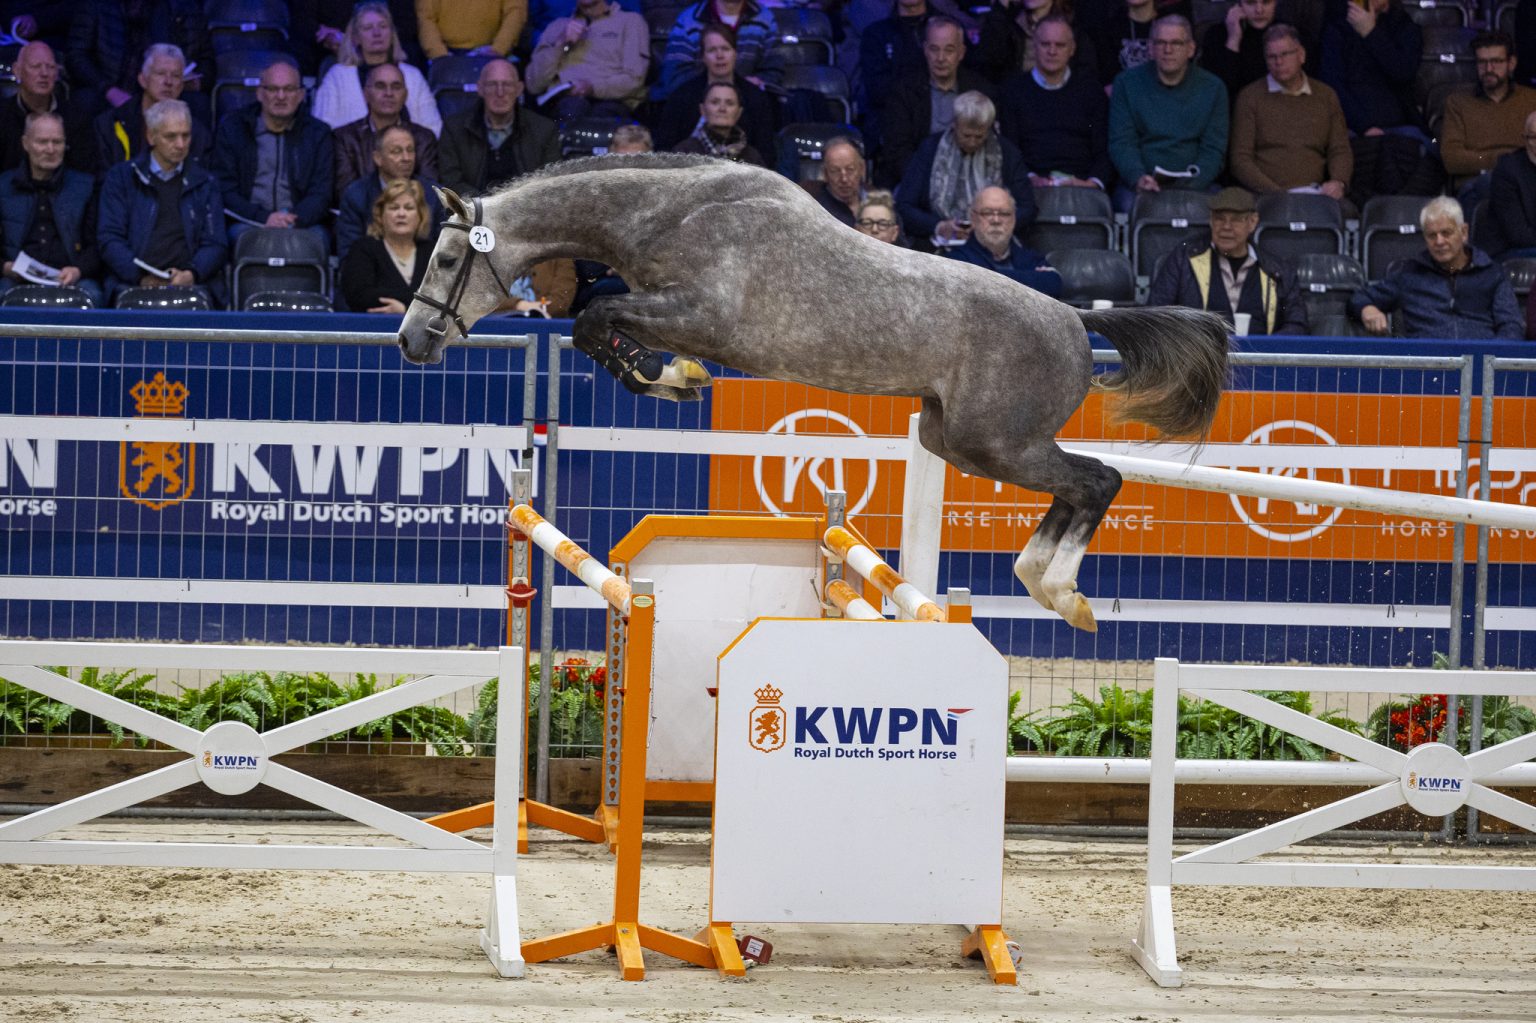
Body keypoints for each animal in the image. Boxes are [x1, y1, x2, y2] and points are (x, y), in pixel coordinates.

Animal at [397, 153, 1229, 631]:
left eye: (447, 260)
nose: (409, 342)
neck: (669, 213)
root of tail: (1075, 317)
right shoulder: (677, 315)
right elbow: (597, 324)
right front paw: (671, 379)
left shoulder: (701, 313)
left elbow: (592, 317)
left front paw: (664, 377)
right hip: (956, 439)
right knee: (1079, 485)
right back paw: (1042, 582)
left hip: (999, 442)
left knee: (1099, 479)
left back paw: (1062, 593)